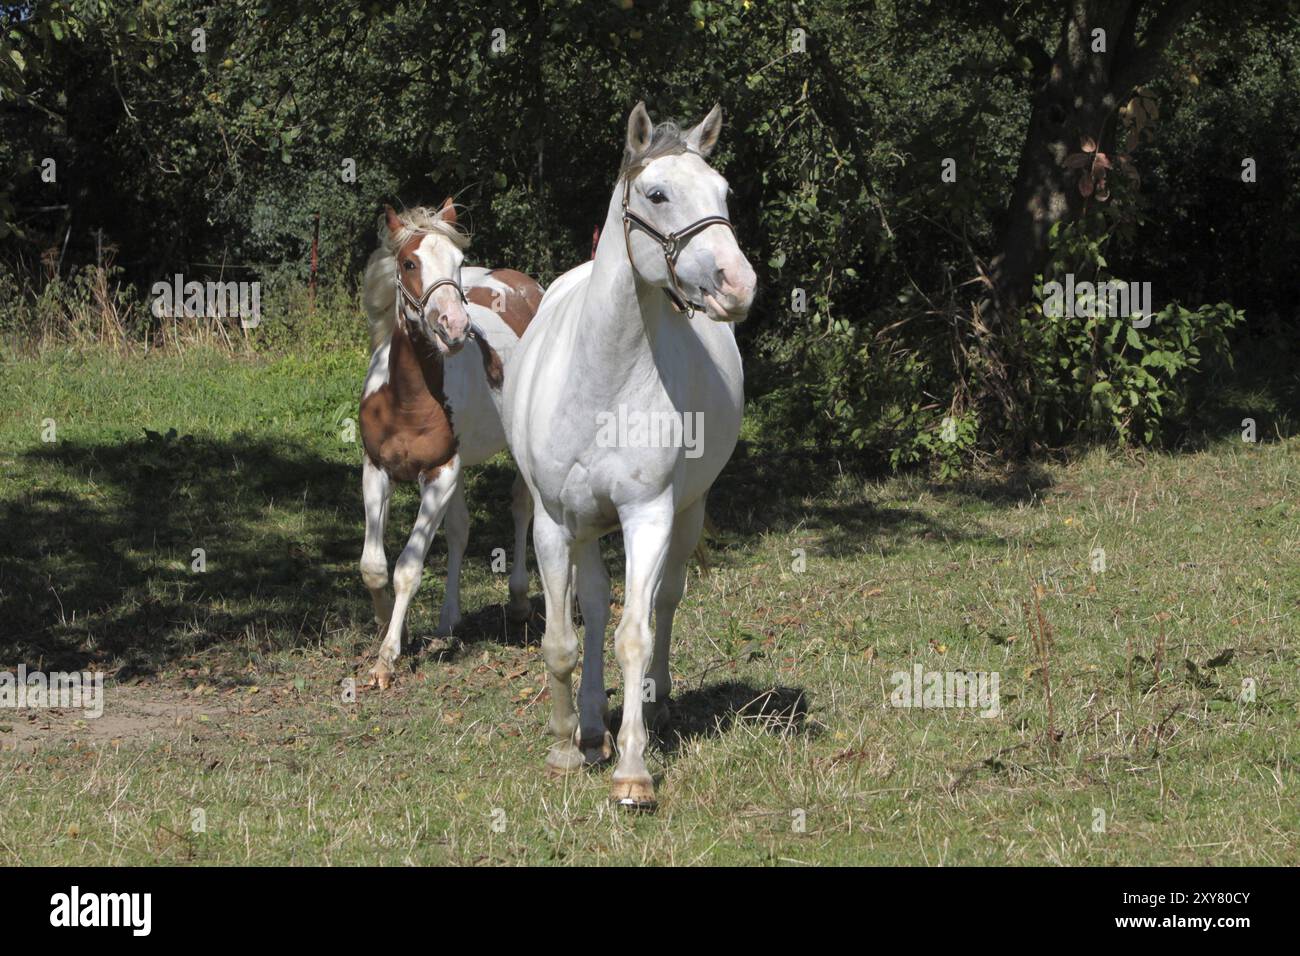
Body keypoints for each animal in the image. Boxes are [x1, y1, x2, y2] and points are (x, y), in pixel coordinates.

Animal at [358, 199, 543, 688]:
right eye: (409, 263)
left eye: (459, 262)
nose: (456, 327)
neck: (406, 397)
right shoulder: (377, 469)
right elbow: (374, 566)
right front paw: (388, 625)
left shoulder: (439, 473)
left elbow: (407, 567)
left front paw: (387, 657)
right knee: (459, 530)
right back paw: (447, 622)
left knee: (522, 508)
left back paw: (519, 600)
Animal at [503, 104, 757, 808]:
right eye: (658, 194)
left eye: (725, 192)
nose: (739, 284)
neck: (604, 378)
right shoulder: (553, 522)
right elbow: (564, 639)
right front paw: (566, 746)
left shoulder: (649, 514)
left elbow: (635, 634)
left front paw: (633, 770)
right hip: (586, 526)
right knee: (591, 608)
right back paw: (591, 728)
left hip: (687, 511)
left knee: (664, 601)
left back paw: (654, 706)